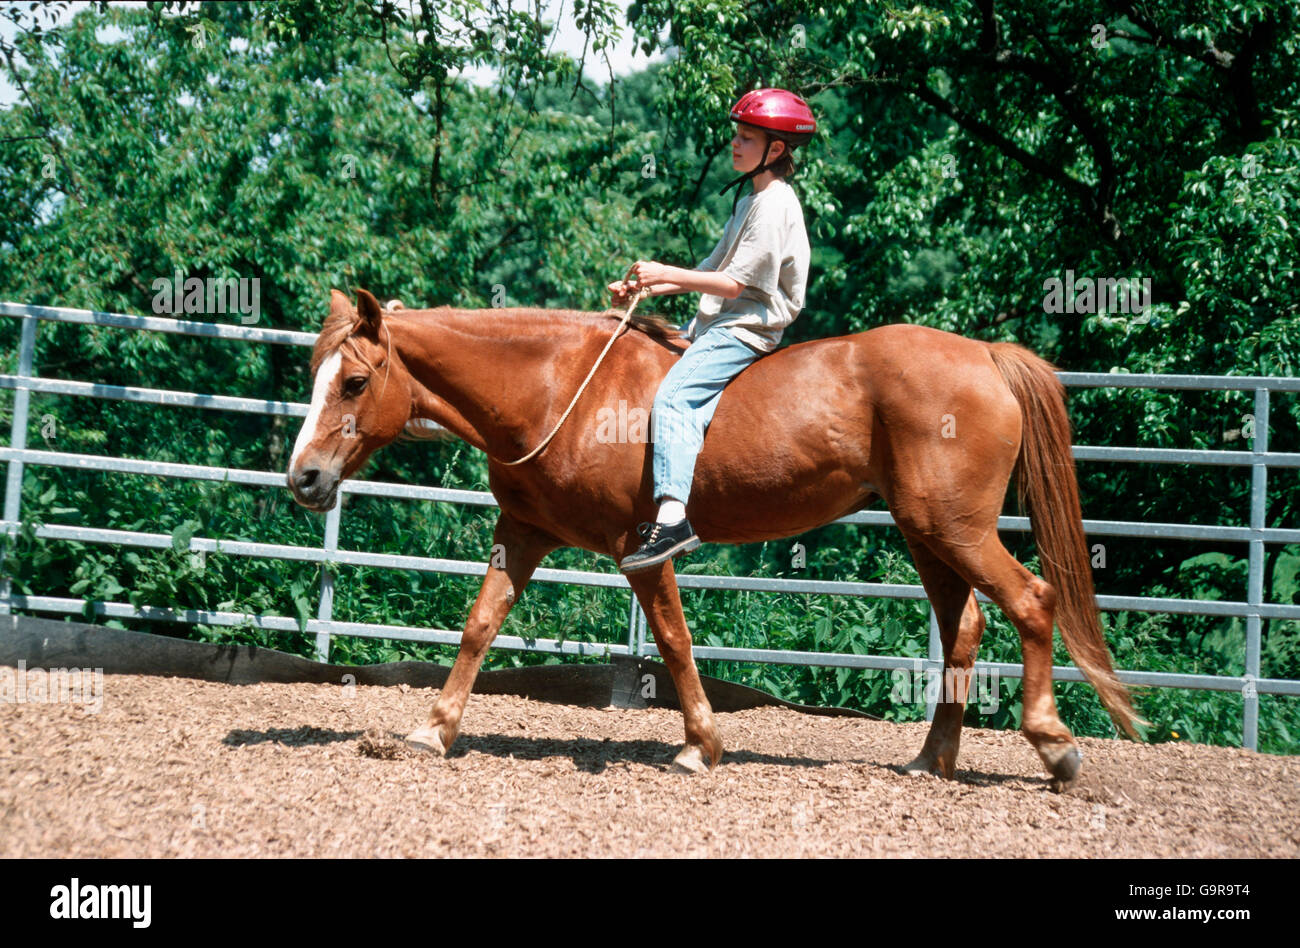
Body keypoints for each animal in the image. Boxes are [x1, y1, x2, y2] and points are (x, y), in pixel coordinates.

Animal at [286, 288, 1143, 782]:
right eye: (315, 377)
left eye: (354, 381)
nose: (303, 478)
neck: (558, 388)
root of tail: (988, 359)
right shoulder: (522, 533)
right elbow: (479, 624)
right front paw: (433, 731)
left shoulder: (642, 548)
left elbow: (672, 640)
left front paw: (701, 743)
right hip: (927, 533)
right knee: (963, 627)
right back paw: (932, 758)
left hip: (953, 530)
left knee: (1033, 601)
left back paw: (1054, 746)